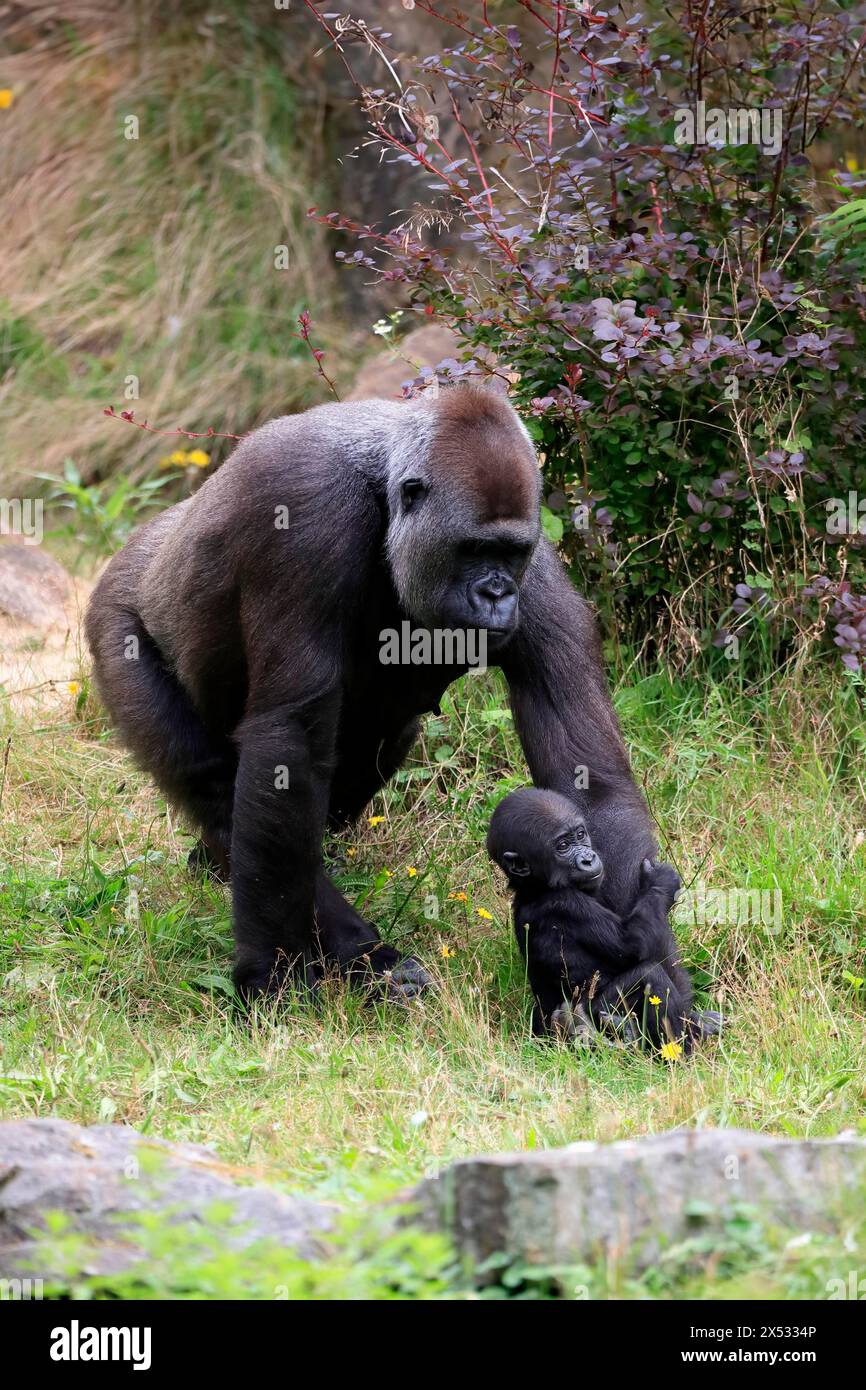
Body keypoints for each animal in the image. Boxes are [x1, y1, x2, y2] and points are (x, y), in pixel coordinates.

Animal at [86, 382, 673, 1005]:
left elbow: (591, 777)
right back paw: (359, 955)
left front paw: (649, 971)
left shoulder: (533, 562)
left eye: (509, 553)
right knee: (214, 783)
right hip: (118, 626)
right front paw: (272, 972)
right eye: (472, 550)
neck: (384, 487)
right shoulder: (303, 506)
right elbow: (289, 745)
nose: (496, 595)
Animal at [487, 787, 719, 1048]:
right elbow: (633, 947)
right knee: (648, 977)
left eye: (580, 835)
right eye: (563, 846)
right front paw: (661, 882)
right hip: (577, 1026)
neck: (534, 887)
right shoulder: (568, 905)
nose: (588, 858)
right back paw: (679, 1049)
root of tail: (544, 1033)